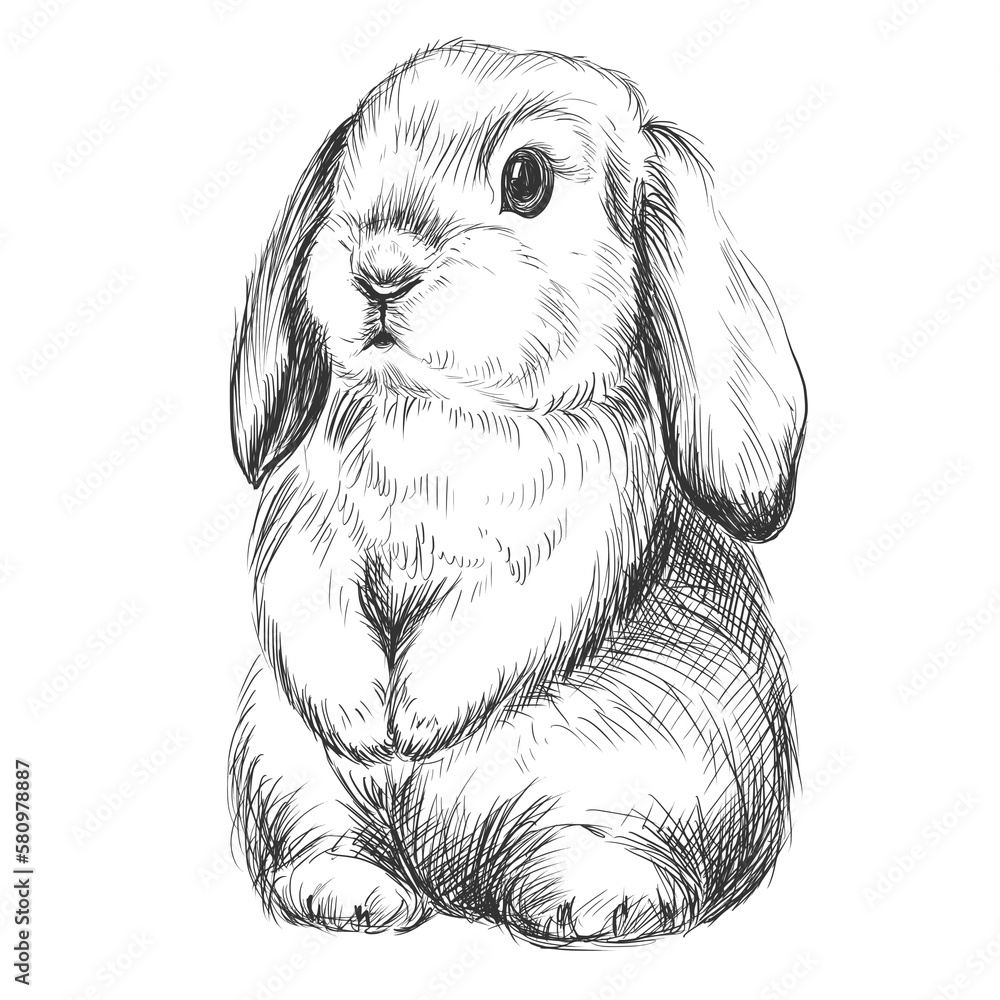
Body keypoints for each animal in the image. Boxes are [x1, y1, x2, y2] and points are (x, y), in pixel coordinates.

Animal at [228, 40, 806, 947]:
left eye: (526, 180)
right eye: (354, 160)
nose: (379, 269)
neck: (444, 409)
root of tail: (444, 872)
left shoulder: (572, 539)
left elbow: (496, 626)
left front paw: (412, 725)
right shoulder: (306, 529)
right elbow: (307, 609)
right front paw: (367, 726)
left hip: (647, 787)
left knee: (604, 859)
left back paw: (590, 902)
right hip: (283, 762)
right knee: (335, 838)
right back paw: (350, 895)